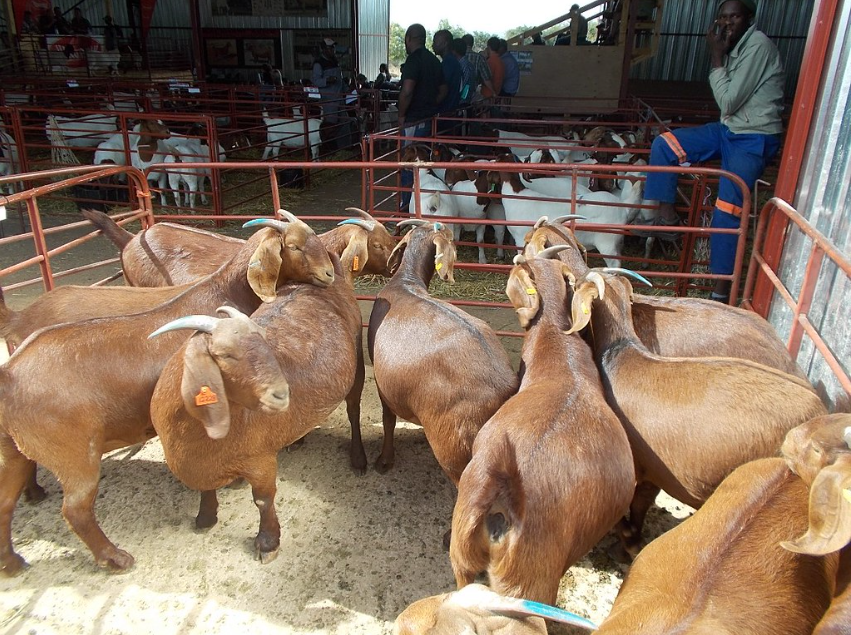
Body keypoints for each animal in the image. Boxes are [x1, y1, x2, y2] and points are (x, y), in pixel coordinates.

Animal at [0, 216, 333, 575]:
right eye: (295, 246)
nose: (329, 274)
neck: (224, 291)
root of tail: (10, 373)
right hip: (74, 454)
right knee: (76, 508)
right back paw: (115, 558)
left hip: (13, 447)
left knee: (6, 499)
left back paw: (15, 554)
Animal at [148, 258, 367, 563]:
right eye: (225, 354)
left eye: (265, 343)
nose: (282, 394)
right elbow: (206, 487)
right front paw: (205, 517)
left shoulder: (259, 457)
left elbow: (263, 499)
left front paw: (268, 542)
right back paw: (297, 438)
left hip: (357, 360)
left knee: (354, 409)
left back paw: (358, 458)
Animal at [367, 220, 518, 494]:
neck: (406, 282)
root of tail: (505, 391)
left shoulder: (384, 387)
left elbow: (388, 420)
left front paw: (384, 460)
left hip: (455, 454)